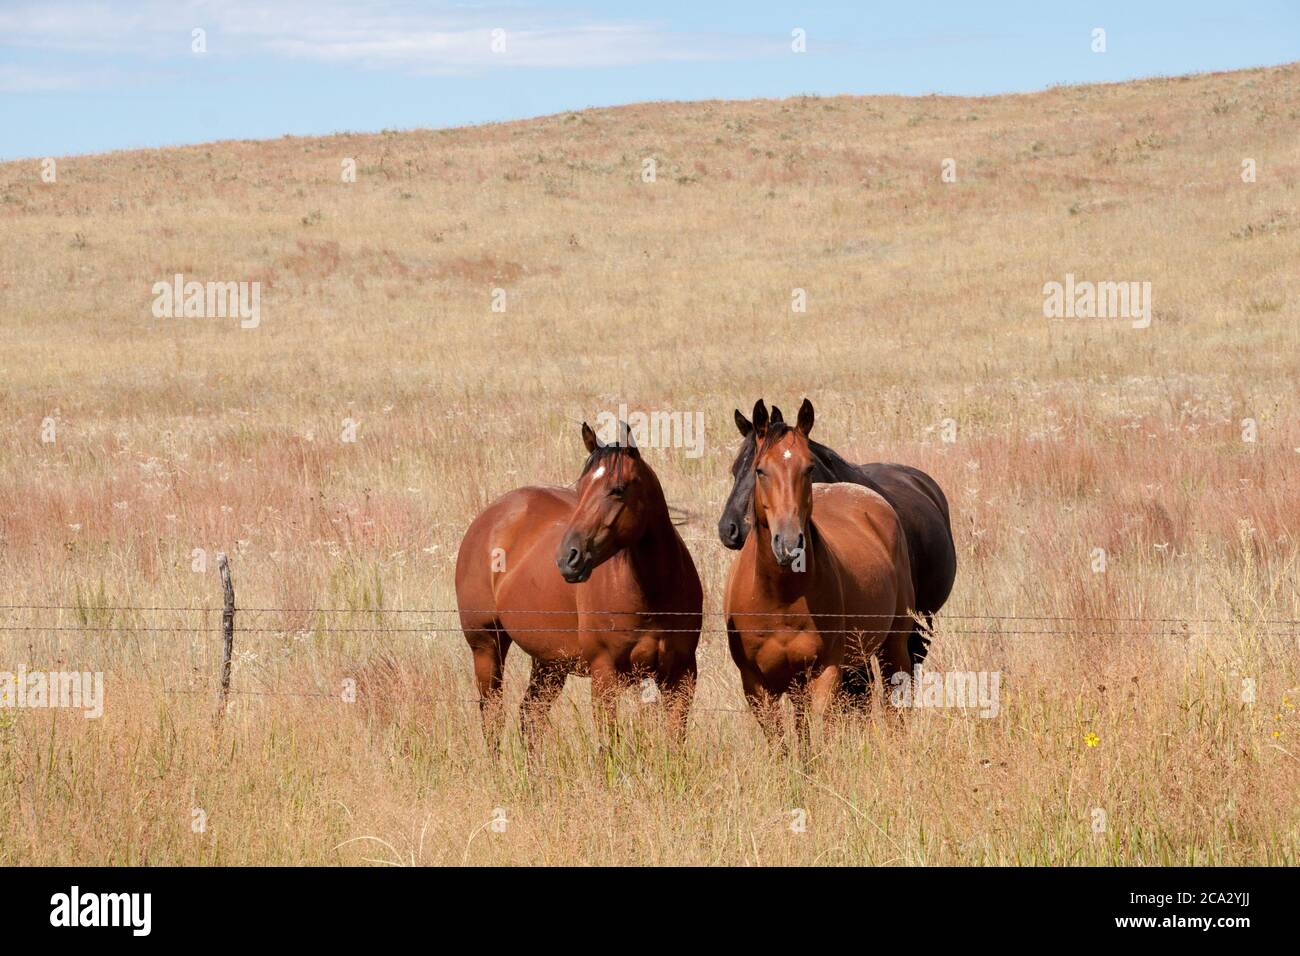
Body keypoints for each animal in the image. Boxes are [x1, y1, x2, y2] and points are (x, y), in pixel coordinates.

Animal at [455, 421, 703, 753]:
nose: (567, 559)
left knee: (530, 717)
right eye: (580, 489)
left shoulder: (682, 674)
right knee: (493, 718)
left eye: (618, 489)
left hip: (549, 663)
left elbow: (676, 744)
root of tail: (489, 517)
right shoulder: (604, 673)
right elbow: (609, 745)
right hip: (486, 646)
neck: (652, 593)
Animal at [723, 399, 915, 750]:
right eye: (761, 470)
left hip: (893, 643)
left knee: (896, 700)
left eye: (809, 468)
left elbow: (821, 731)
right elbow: (784, 743)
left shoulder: (825, 670)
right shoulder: (755, 683)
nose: (788, 544)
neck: (781, 596)